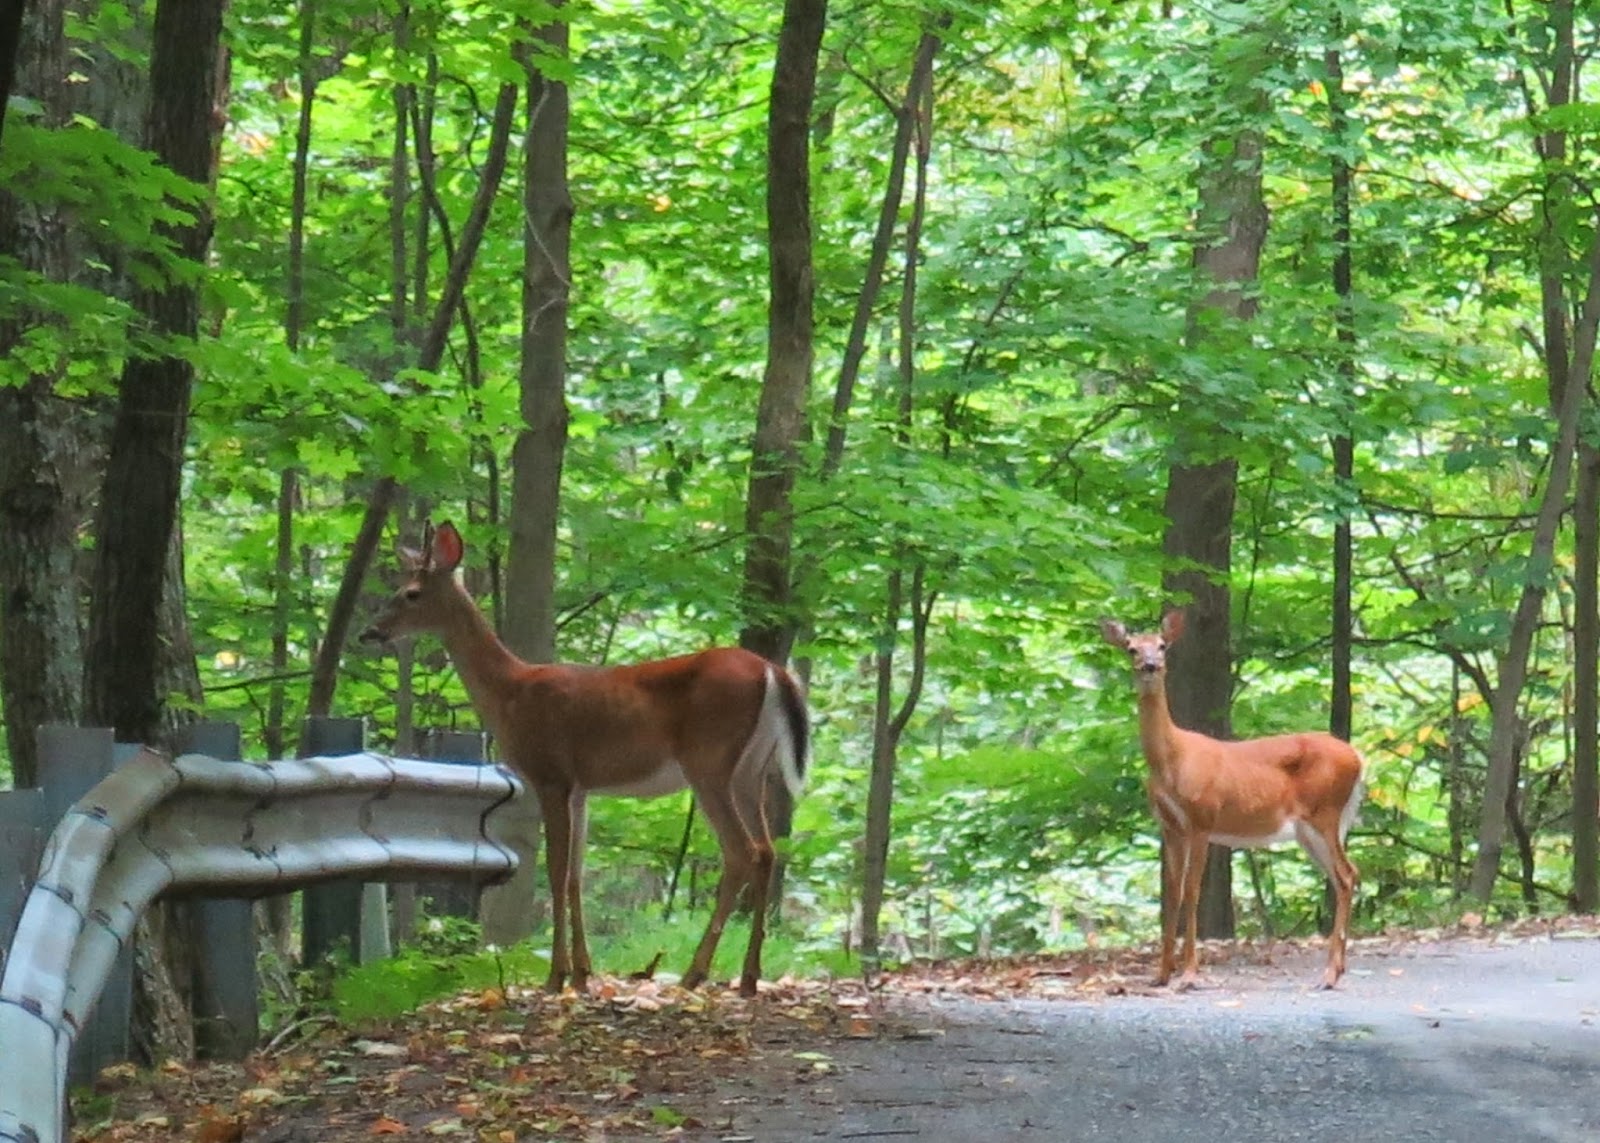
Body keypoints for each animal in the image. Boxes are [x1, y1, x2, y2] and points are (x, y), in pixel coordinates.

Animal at [360, 520, 810, 998]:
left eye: (410, 593)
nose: (370, 632)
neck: (510, 691)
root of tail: (773, 672)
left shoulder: (550, 774)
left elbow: (556, 871)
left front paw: (555, 976)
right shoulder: (581, 787)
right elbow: (575, 874)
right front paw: (581, 973)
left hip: (709, 762)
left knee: (742, 852)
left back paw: (696, 973)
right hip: (752, 769)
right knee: (767, 851)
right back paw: (749, 976)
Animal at [1100, 608, 1364, 990]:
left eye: (1162, 645)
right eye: (1132, 648)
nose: (1150, 665)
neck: (1173, 760)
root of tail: (1359, 758)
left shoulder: (1201, 819)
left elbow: (1191, 892)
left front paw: (1188, 974)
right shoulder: (1169, 827)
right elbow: (1171, 894)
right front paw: (1161, 974)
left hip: (1324, 813)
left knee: (1345, 874)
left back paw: (1328, 975)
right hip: (1310, 829)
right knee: (1346, 875)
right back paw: (1336, 970)